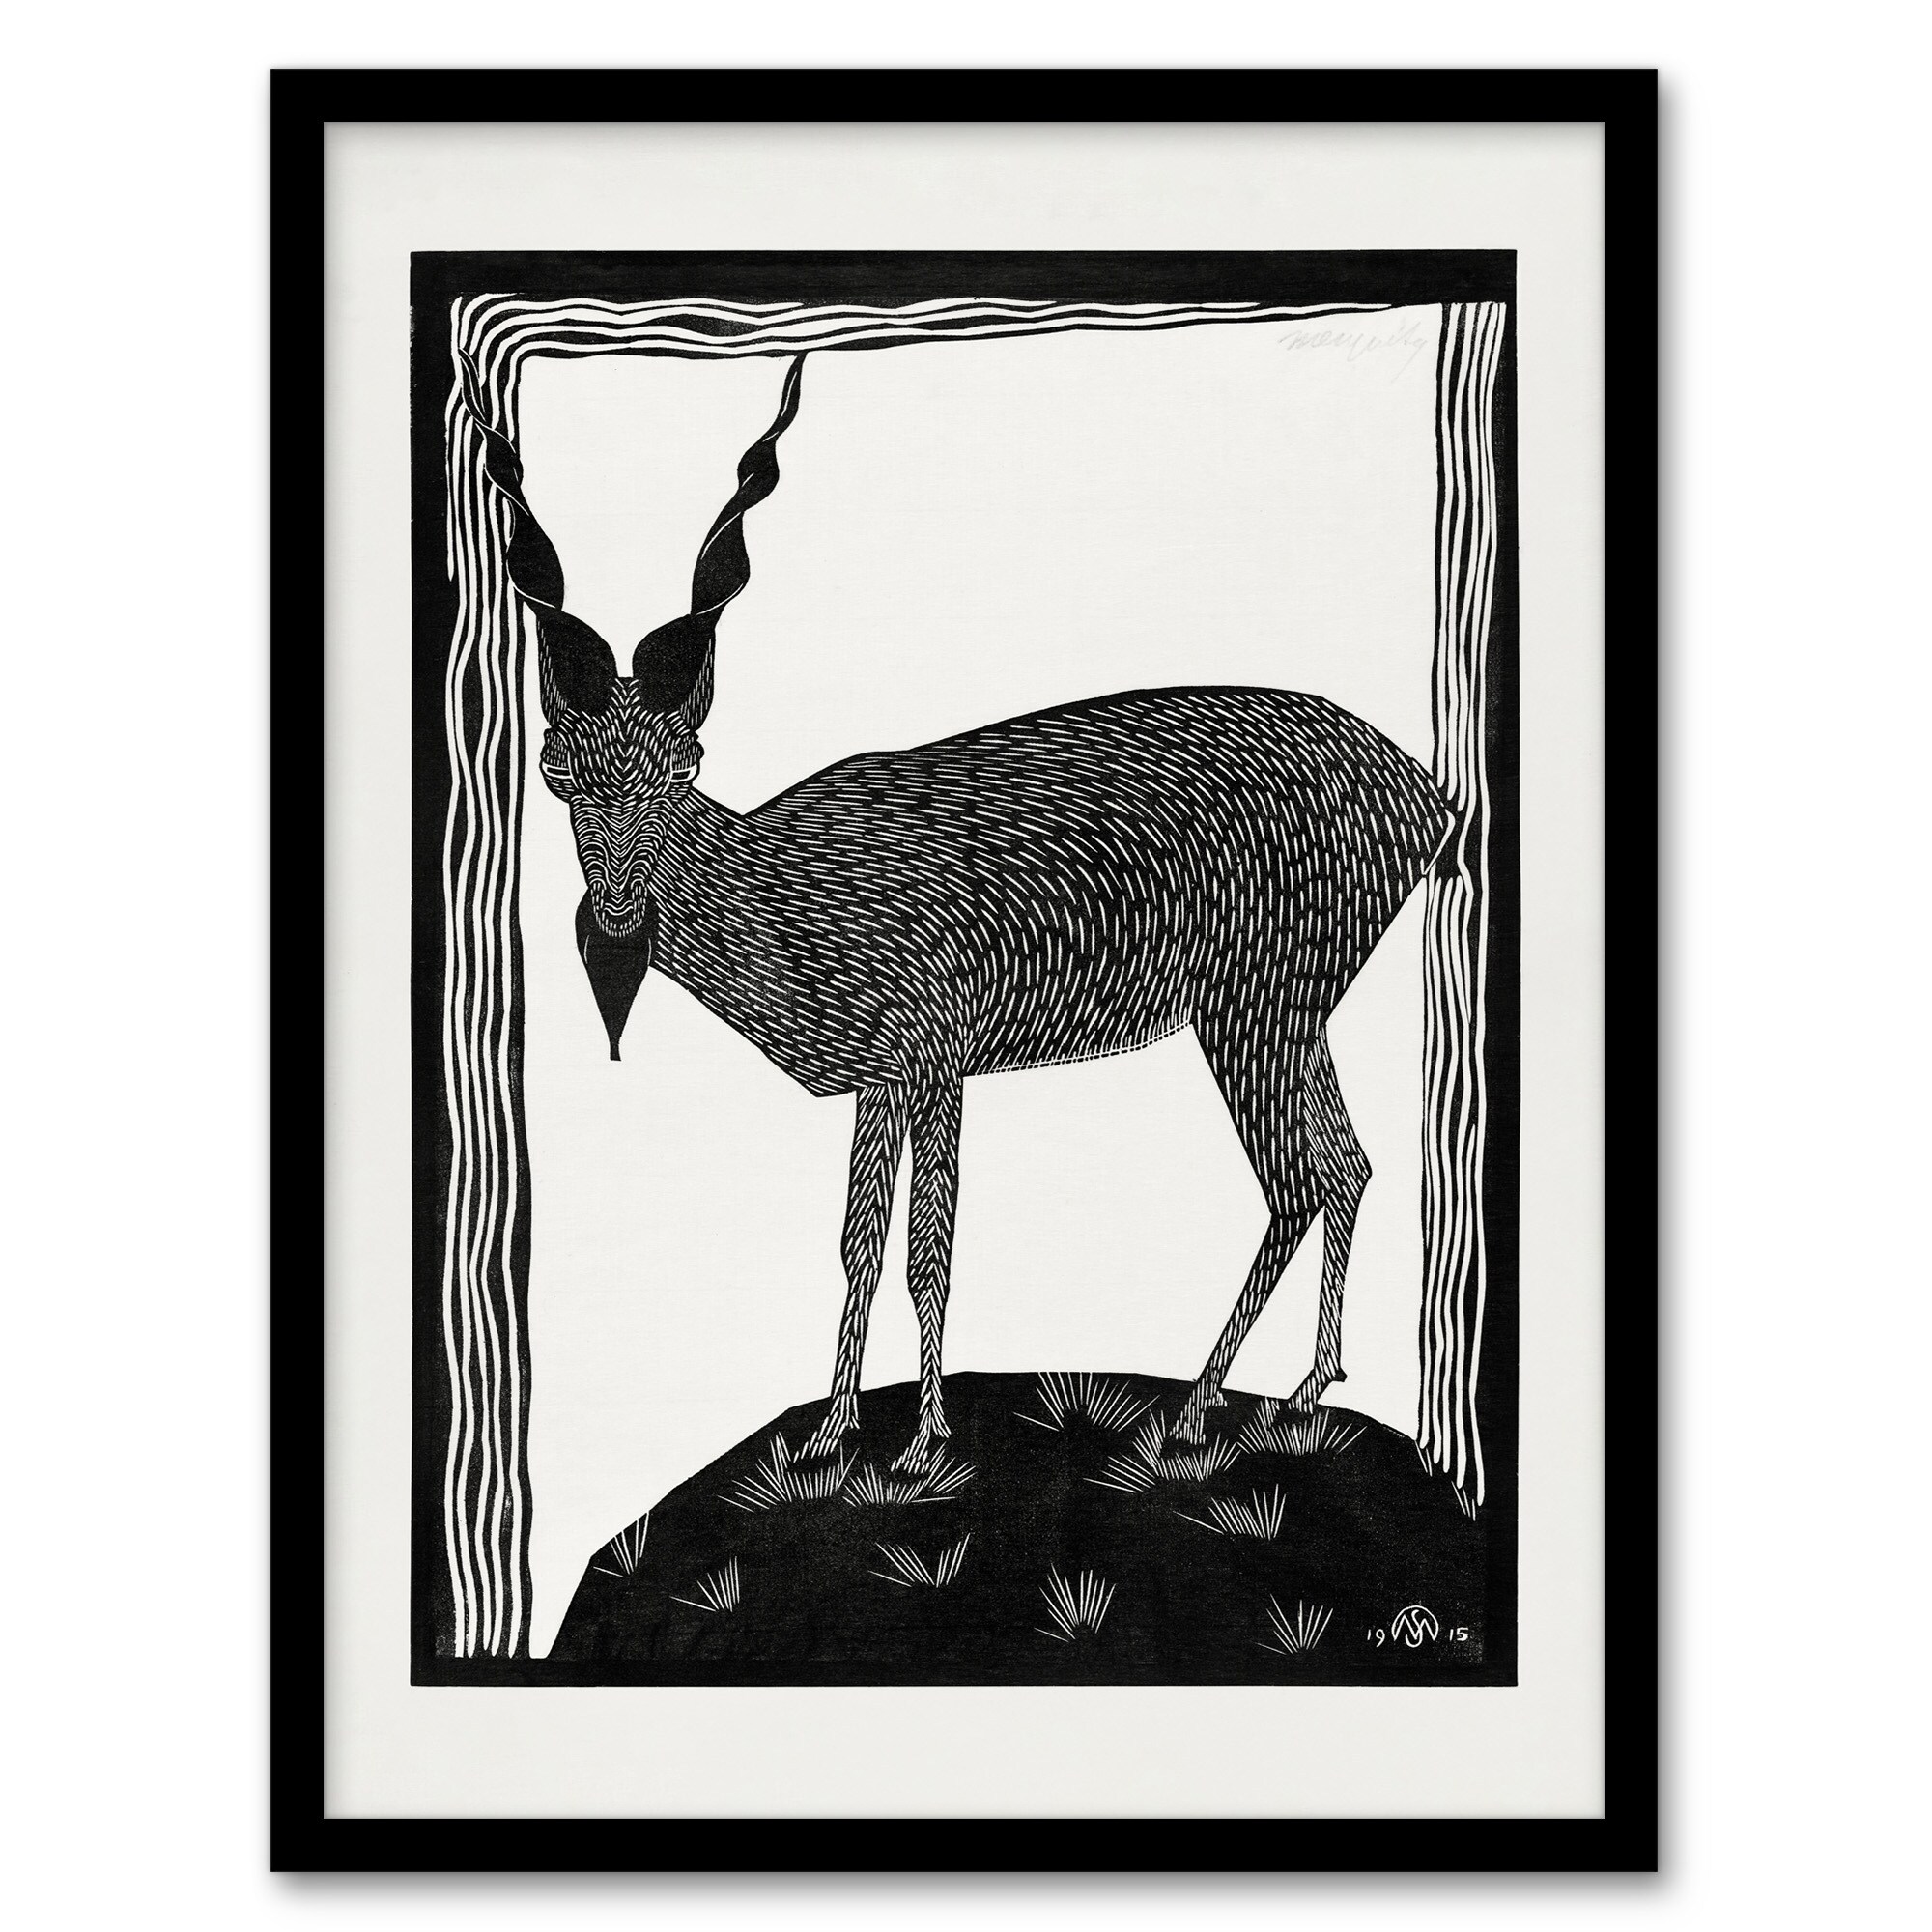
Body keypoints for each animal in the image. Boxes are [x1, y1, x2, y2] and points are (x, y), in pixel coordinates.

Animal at [463, 352, 1452, 1470]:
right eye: (556, 773)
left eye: (685, 763)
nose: (618, 918)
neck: (784, 883)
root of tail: (1429, 793)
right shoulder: (878, 1079)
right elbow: (855, 1245)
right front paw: (829, 1431)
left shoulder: (939, 1054)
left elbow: (927, 1249)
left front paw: (922, 1438)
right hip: (1295, 1013)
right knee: (1352, 1164)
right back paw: (1302, 1394)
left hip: (1251, 1012)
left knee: (1297, 1183)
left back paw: (1196, 1410)